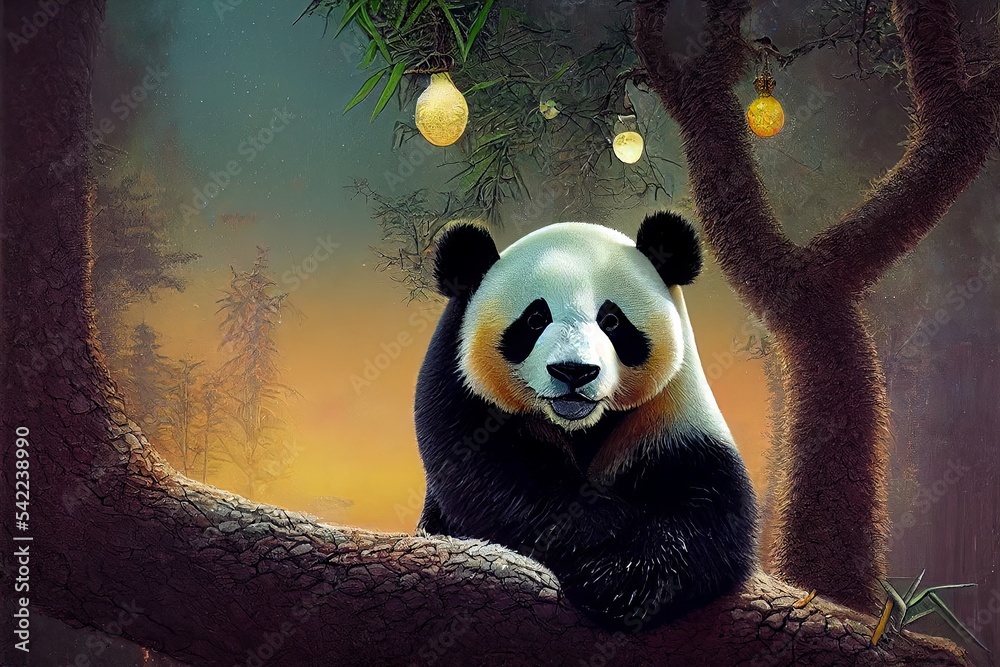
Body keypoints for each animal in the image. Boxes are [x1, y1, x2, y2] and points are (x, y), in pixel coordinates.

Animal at [414, 211, 758, 631]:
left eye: (611, 319)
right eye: (535, 318)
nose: (574, 371)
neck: (581, 428)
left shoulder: (671, 413)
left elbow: (712, 509)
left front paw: (615, 582)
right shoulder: (463, 391)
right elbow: (493, 482)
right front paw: (605, 524)